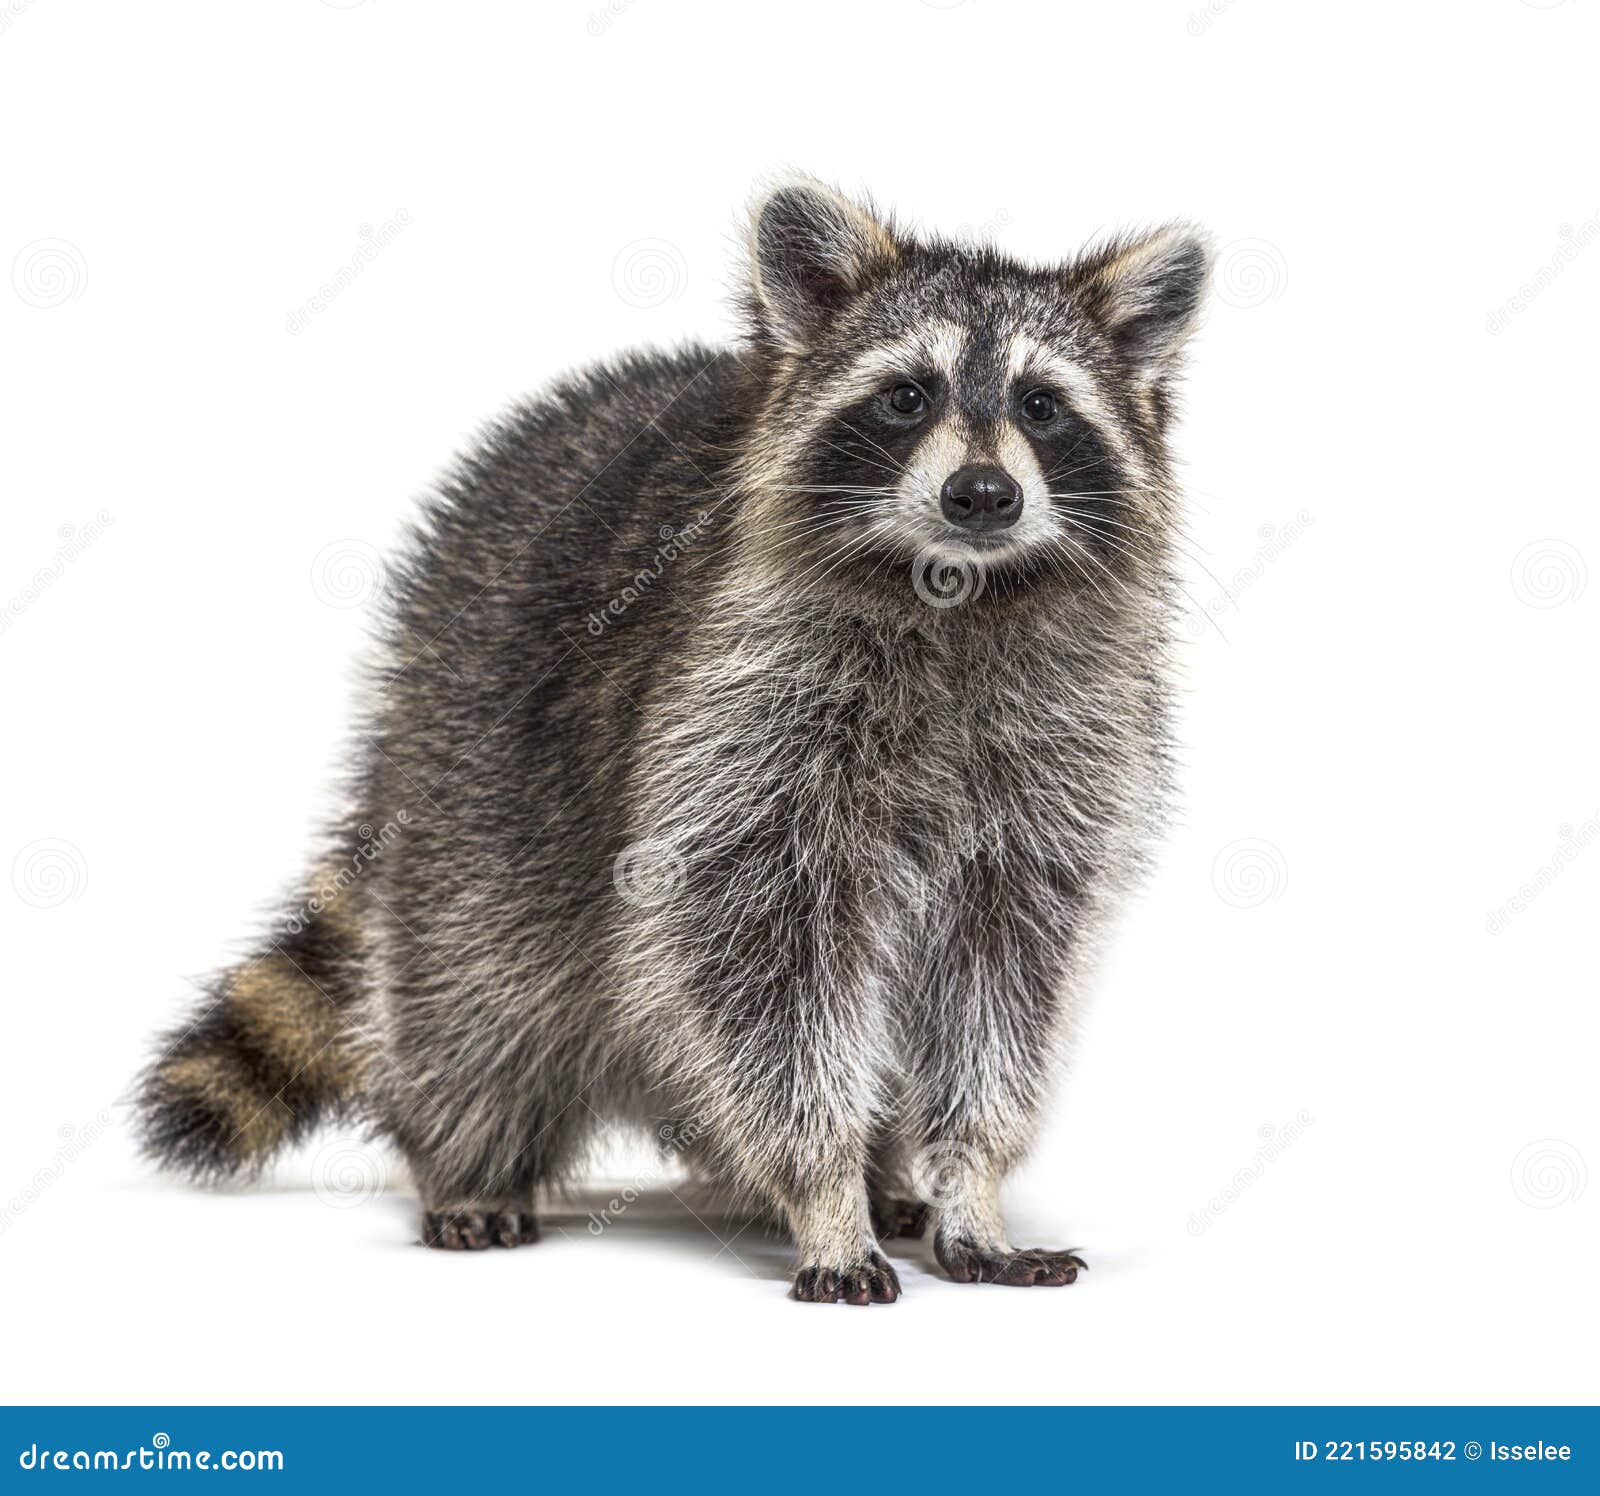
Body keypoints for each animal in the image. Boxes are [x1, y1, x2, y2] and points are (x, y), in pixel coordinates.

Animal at [136, 178, 1210, 1304]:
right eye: (906, 396)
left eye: (1043, 405)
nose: (983, 495)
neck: (953, 590)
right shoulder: (734, 717)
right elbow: (757, 967)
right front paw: (824, 1190)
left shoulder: (1057, 757)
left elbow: (996, 987)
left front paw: (966, 1182)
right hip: (475, 741)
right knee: (469, 978)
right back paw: (465, 1156)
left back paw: (887, 1178)